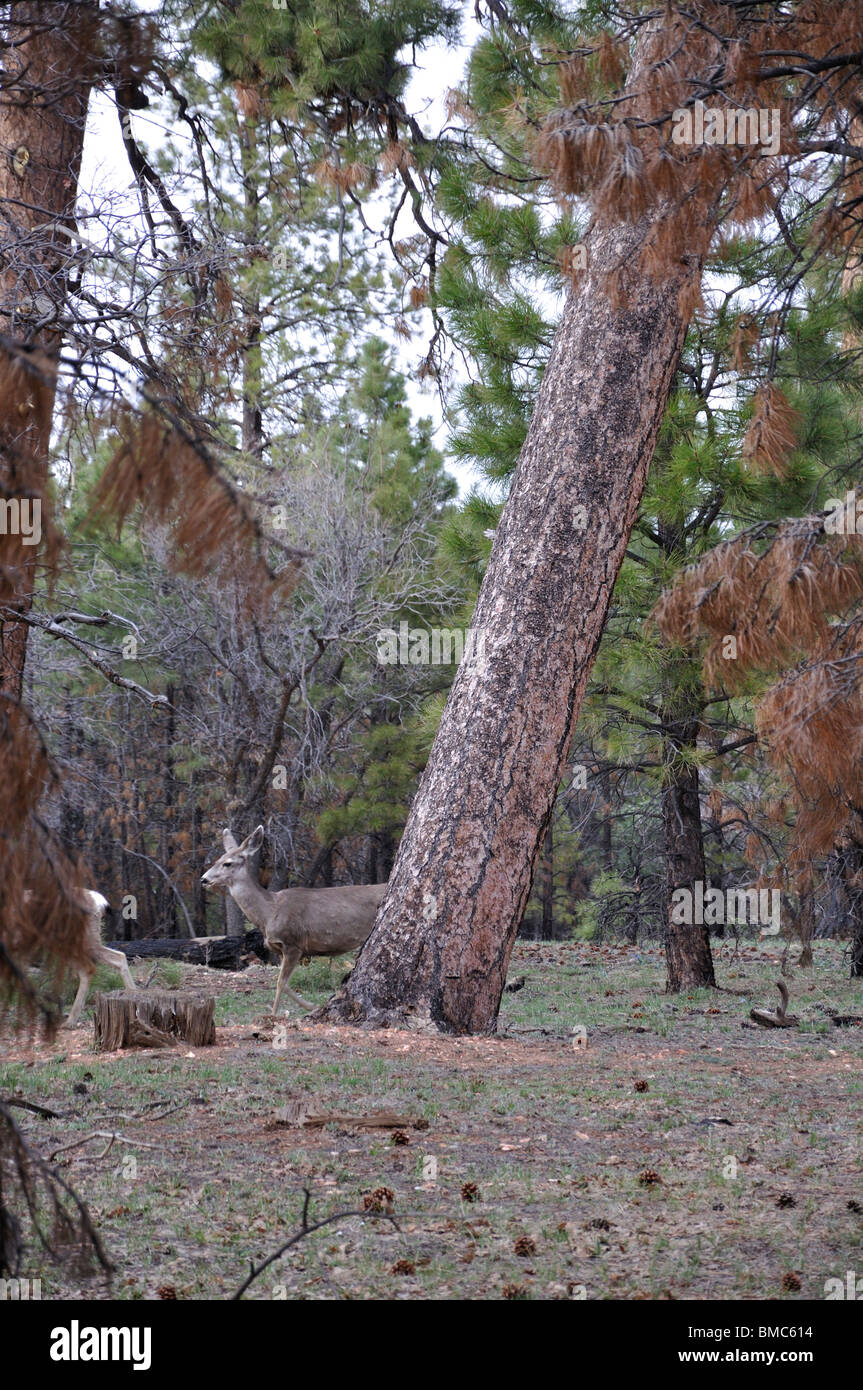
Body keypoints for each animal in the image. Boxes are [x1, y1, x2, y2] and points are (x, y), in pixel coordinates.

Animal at [201, 826, 387, 1015]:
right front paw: (310, 1007)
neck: (269, 913)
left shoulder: (294, 943)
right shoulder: (280, 949)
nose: (203, 879)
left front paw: (281, 1013)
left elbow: (281, 983)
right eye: (217, 860)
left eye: (227, 863)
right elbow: (284, 983)